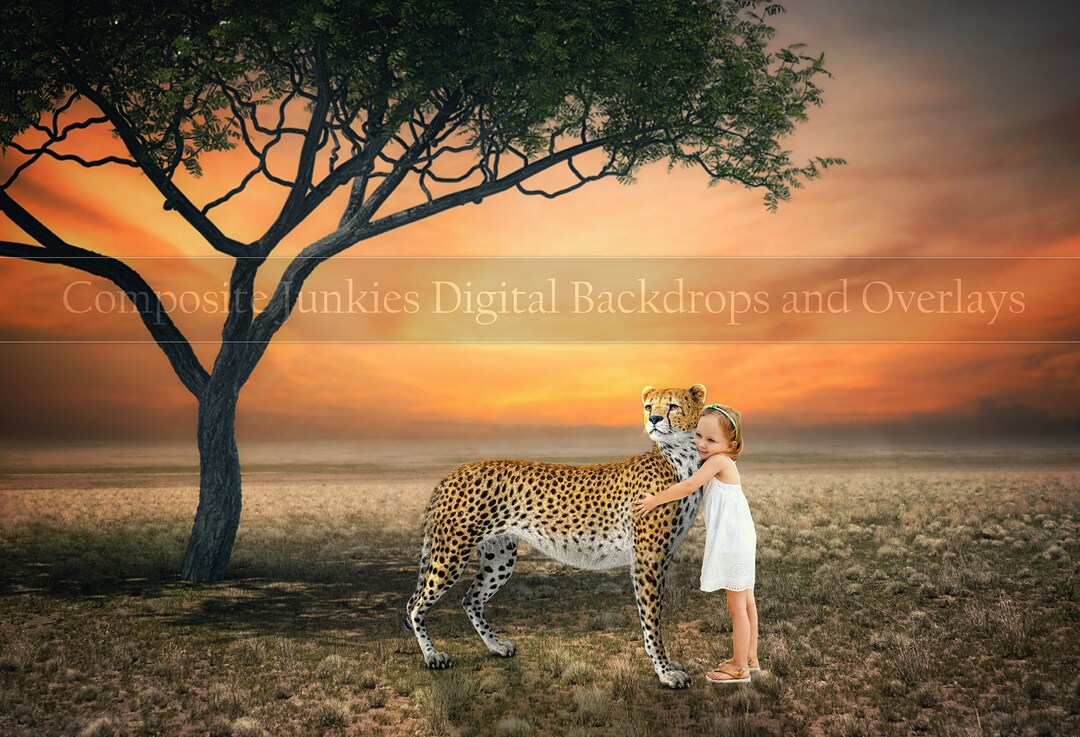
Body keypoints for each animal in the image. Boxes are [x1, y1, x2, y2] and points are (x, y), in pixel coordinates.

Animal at [404, 384, 708, 688]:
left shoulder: (662, 558)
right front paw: (665, 672)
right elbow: (651, 618)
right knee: (416, 604)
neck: (682, 460)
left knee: (471, 599)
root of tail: (457, 470)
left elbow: (654, 613)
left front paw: (667, 666)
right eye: (648, 406)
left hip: (499, 558)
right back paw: (432, 656)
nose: (654, 419)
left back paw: (496, 646)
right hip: (452, 552)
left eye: (673, 406)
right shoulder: (648, 559)